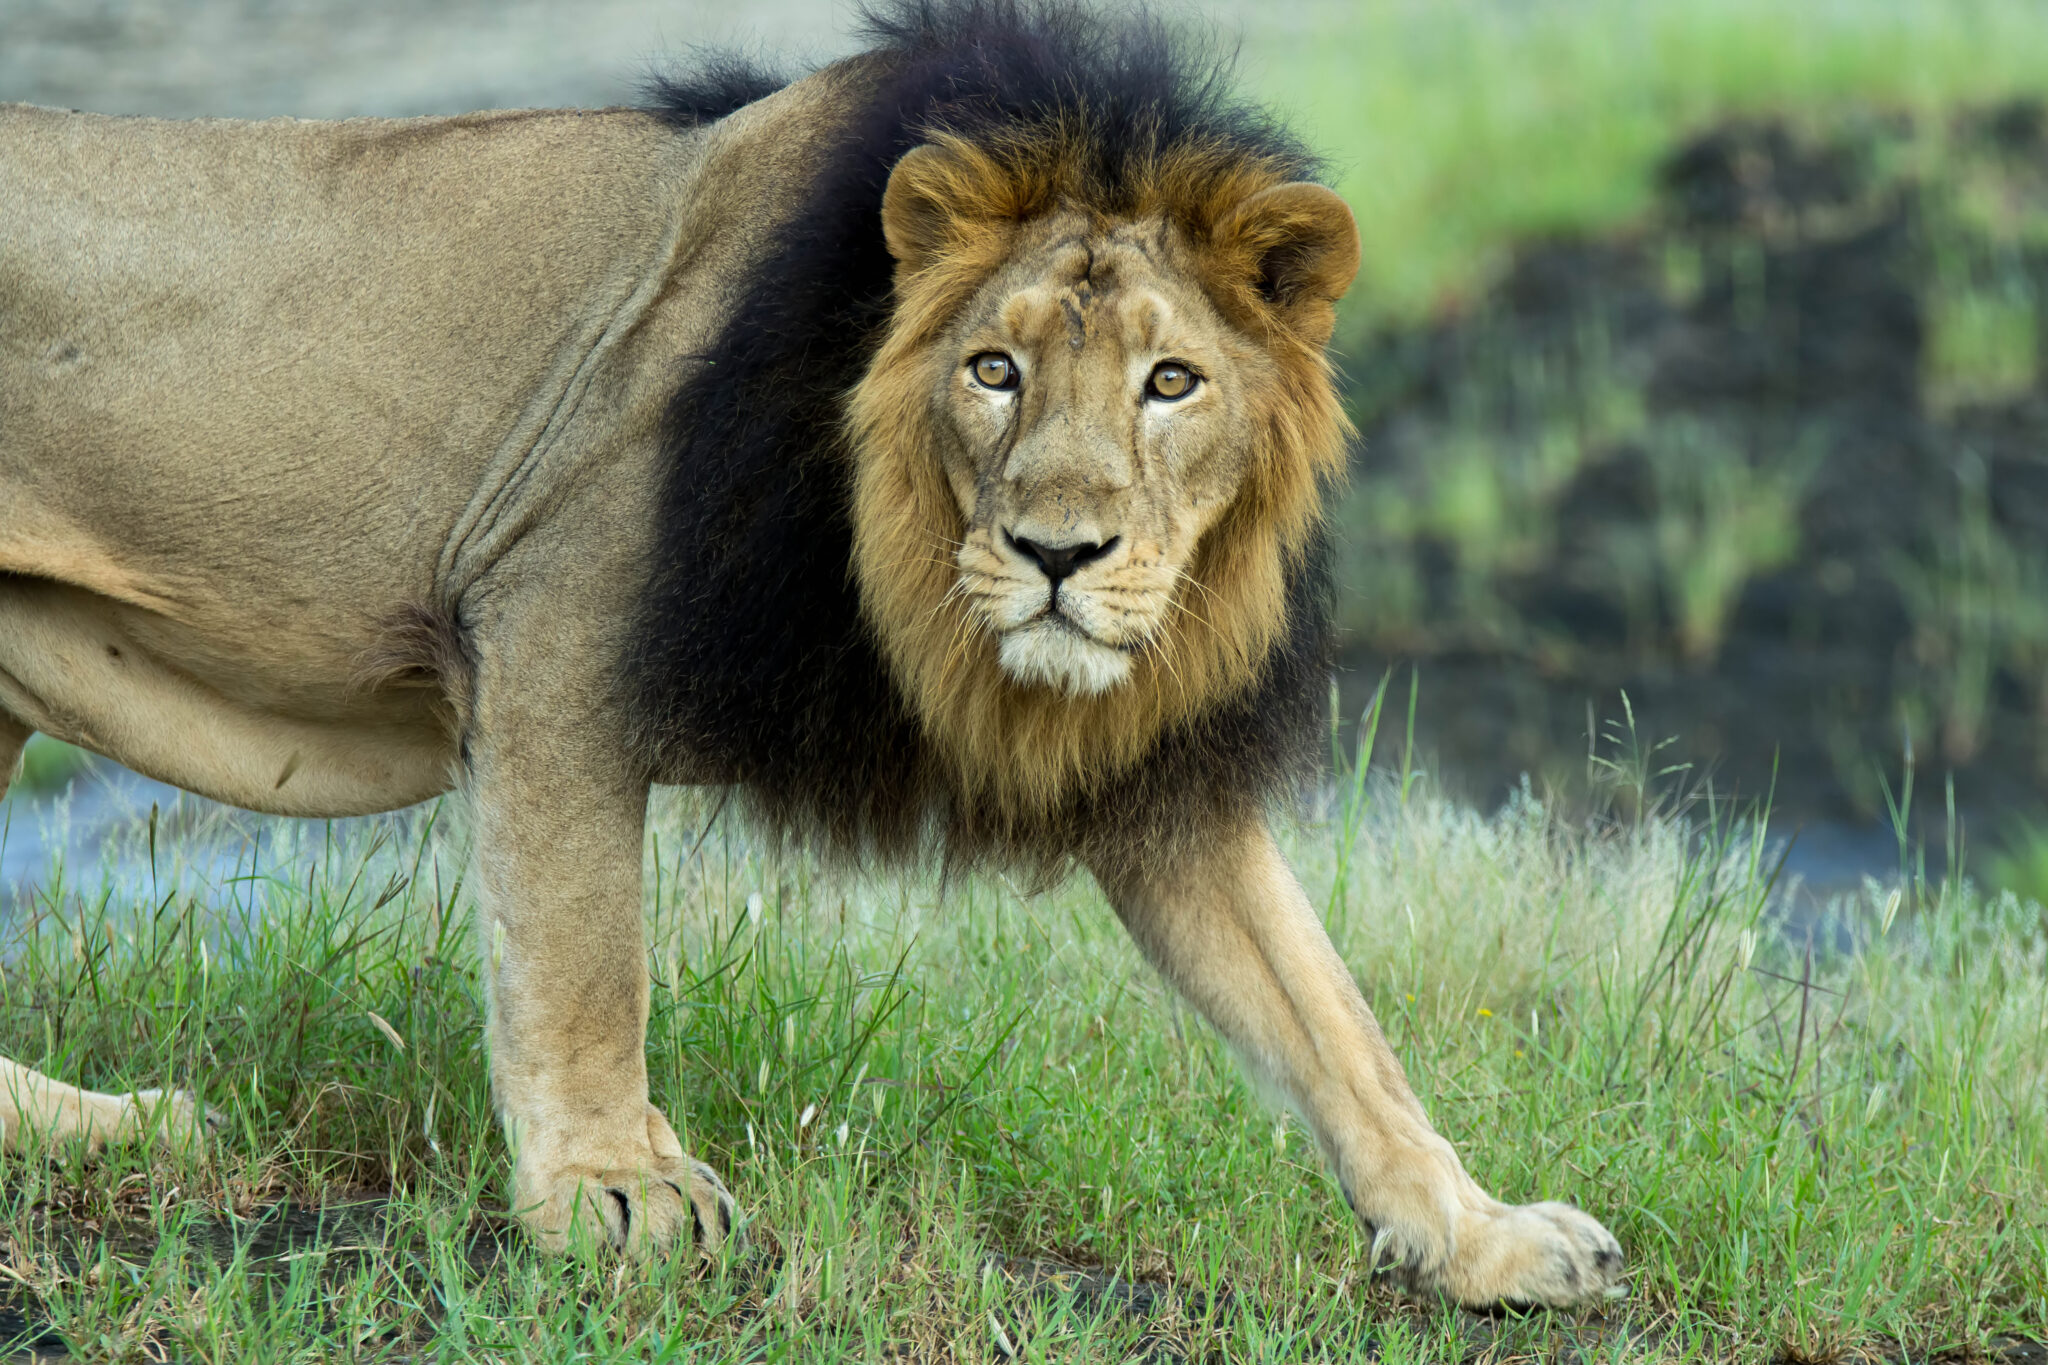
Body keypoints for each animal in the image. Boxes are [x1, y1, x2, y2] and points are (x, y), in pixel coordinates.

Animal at [0, 0, 1624, 1307]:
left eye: (1172, 383)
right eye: (993, 370)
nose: (1058, 554)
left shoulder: (1153, 766)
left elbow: (1332, 1021)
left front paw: (1484, 1236)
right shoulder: (553, 610)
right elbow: (585, 951)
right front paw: (615, 1187)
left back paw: (123, 1123)